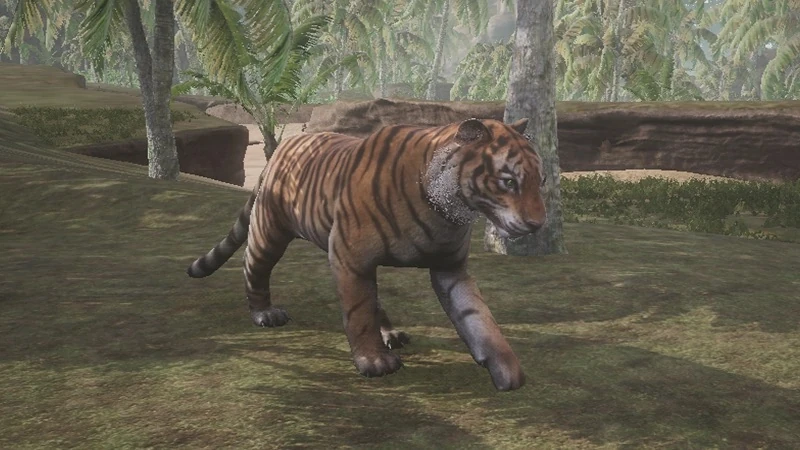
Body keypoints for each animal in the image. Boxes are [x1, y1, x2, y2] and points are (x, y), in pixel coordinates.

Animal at [187, 118, 547, 391]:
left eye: (540, 181)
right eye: (508, 181)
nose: (538, 224)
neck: (447, 213)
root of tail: (281, 148)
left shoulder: (451, 269)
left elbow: (478, 317)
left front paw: (507, 369)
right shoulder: (351, 257)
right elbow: (358, 313)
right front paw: (373, 362)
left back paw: (390, 333)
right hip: (269, 230)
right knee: (254, 267)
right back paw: (264, 313)